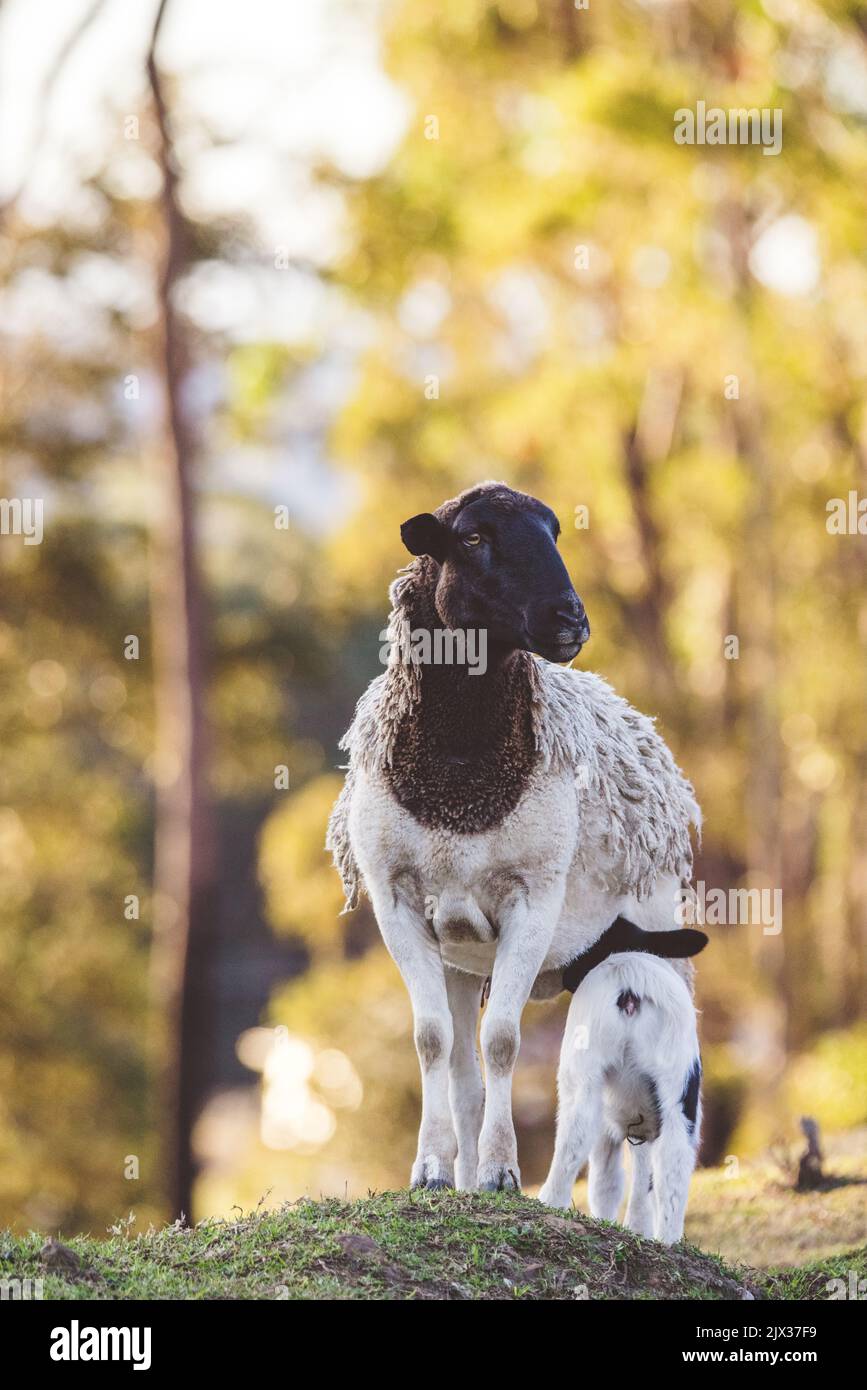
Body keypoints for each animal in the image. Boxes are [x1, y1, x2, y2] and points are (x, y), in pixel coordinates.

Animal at [327, 481, 703, 1196]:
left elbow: (502, 1039)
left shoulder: (534, 899)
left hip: (653, 928)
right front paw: (432, 1171)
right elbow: (433, 1041)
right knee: (461, 1069)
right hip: (459, 953)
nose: (571, 619)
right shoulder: (398, 901)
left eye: (554, 532)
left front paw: (502, 1170)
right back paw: (461, 1173)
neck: (460, 773)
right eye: (472, 537)